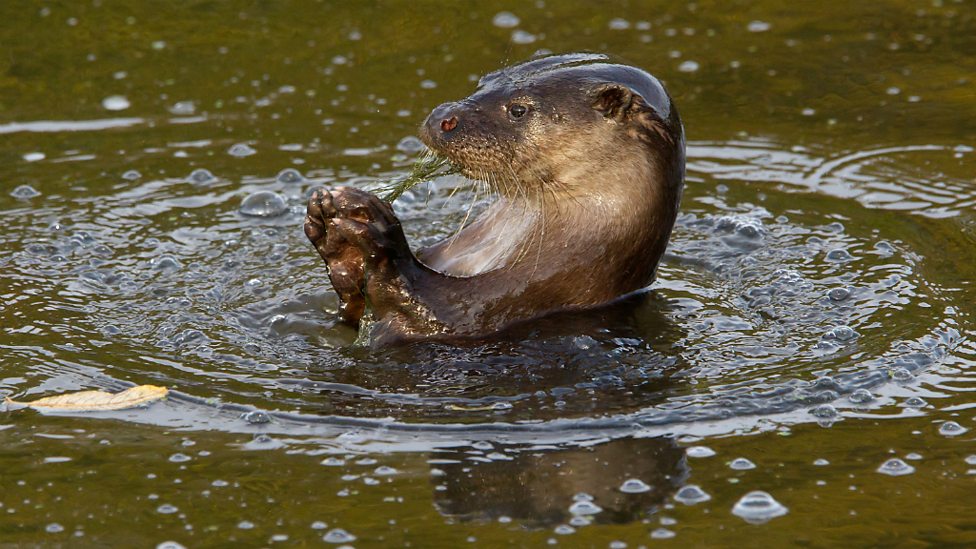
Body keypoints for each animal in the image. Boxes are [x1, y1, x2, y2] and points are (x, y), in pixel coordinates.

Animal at [304, 53, 685, 346]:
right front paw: (338, 241)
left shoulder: (506, 302)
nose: (441, 117)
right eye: (483, 82)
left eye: (518, 110)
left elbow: (429, 309)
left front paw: (376, 233)